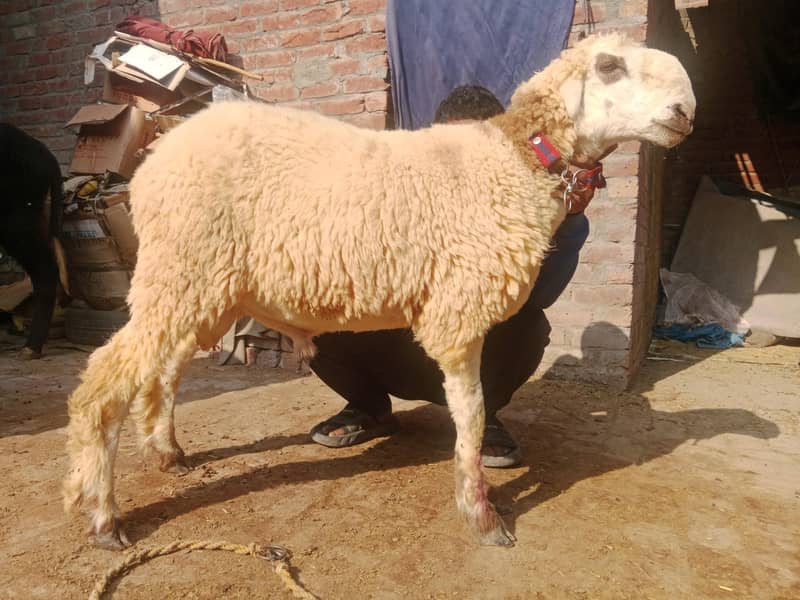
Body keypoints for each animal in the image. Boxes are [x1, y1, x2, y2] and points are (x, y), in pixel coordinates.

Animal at [63, 33, 695, 550]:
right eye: (609, 66)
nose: (685, 111)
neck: (511, 165)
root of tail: (153, 160)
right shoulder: (459, 309)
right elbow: (471, 412)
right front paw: (481, 513)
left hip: (205, 286)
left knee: (165, 369)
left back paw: (166, 452)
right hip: (181, 269)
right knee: (104, 383)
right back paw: (102, 516)